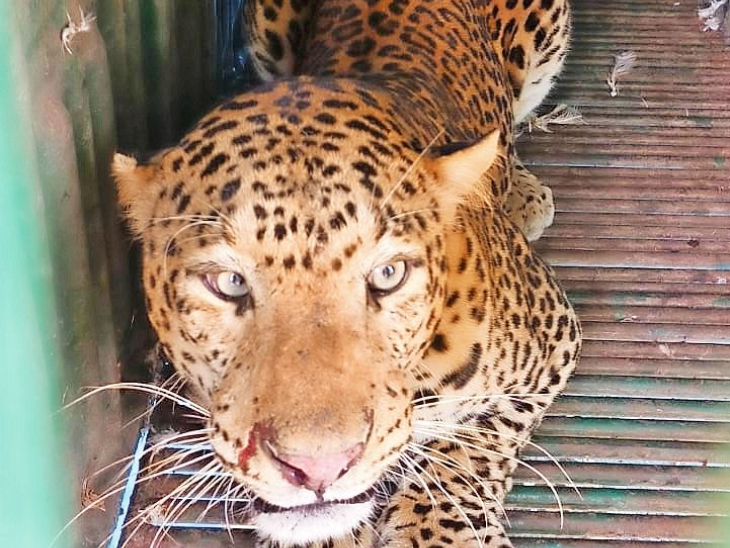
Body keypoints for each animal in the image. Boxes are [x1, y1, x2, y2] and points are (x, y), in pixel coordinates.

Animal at [112, 0, 580, 546]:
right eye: (228, 284)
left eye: (389, 275)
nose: (318, 467)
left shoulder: (549, 344)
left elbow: (472, 447)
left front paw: (439, 531)